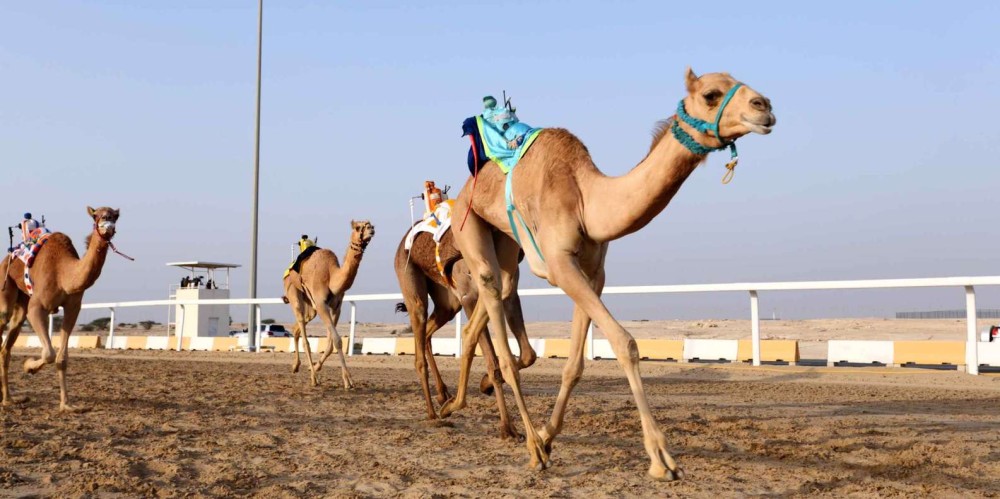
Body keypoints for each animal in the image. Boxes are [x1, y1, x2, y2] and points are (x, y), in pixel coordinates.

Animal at [0, 206, 122, 412]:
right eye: (96, 216)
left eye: (115, 216)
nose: (108, 225)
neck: (64, 274)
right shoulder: (37, 307)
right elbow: (48, 354)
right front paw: (28, 366)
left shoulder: (73, 307)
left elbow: (61, 358)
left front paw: (66, 405)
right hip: (5, 286)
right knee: (4, 317)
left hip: (22, 303)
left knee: (6, 348)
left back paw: (9, 399)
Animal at [283, 220, 375, 389]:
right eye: (358, 227)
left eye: (370, 224)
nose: (371, 230)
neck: (332, 276)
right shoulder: (321, 304)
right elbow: (337, 340)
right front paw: (348, 380)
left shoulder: (335, 307)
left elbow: (332, 343)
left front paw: (317, 367)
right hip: (293, 292)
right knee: (304, 335)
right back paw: (313, 378)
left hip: (311, 307)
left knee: (296, 329)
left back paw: (297, 366)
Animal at [393, 228, 536, 439]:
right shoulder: (470, 297)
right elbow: (492, 361)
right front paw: (507, 427)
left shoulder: (507, 292)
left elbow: (527, 355)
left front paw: (485, 385)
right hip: (412, 283)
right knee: (419, 349)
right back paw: (433, 413)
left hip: (448, 304)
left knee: (427, 334)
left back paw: (443, 394)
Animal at [443, 69, 776, 480]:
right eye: (711, 94)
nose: (764, 107)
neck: (587, 199)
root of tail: (464, 188)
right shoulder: (560, 265)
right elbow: (625, 343)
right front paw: (661, 458)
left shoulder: (593, 272)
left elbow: (574, 365)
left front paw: (549, 435)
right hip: (468, 222)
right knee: (494, 304)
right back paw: (528, 444)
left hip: (505, 240)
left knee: (491, 303)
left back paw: (456, 404)